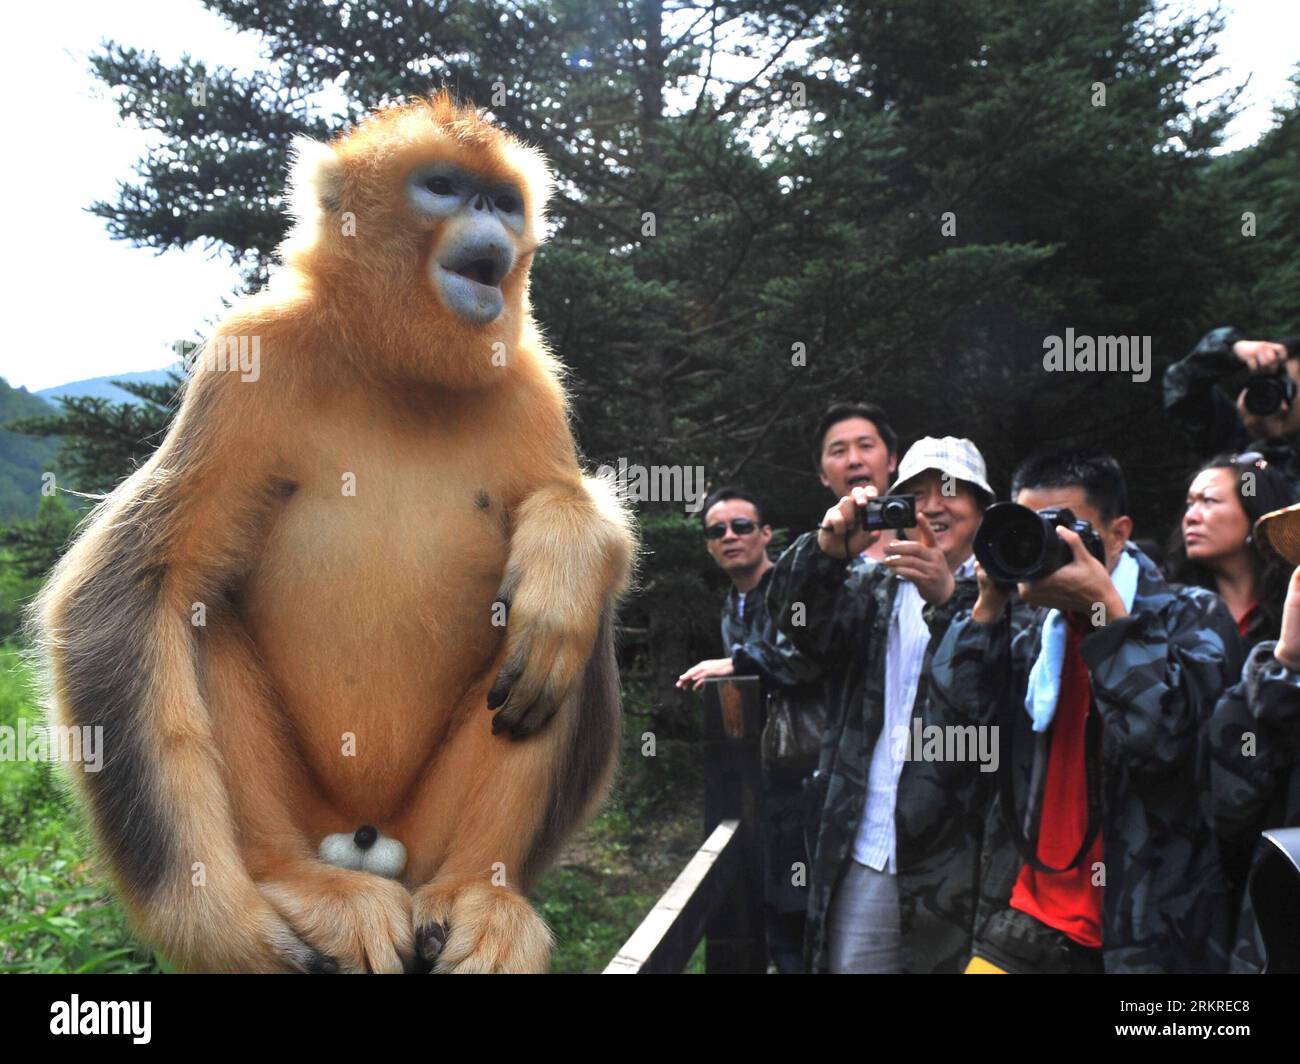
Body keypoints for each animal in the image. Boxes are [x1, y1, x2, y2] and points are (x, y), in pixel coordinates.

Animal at [33, 91, 635, 974]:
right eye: (443, 188)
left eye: (503, 201)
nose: (490, 229)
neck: (397, 370)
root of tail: (367, 840)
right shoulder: (248, 353)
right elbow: (133, 585)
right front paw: (213, 922)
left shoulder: (531, 381)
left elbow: (566, 515)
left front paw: (568, 548)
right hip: (306, 813)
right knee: (194, 611)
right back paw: (303, 886)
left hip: (428, 833)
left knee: (563, 636)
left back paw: (481, 893)